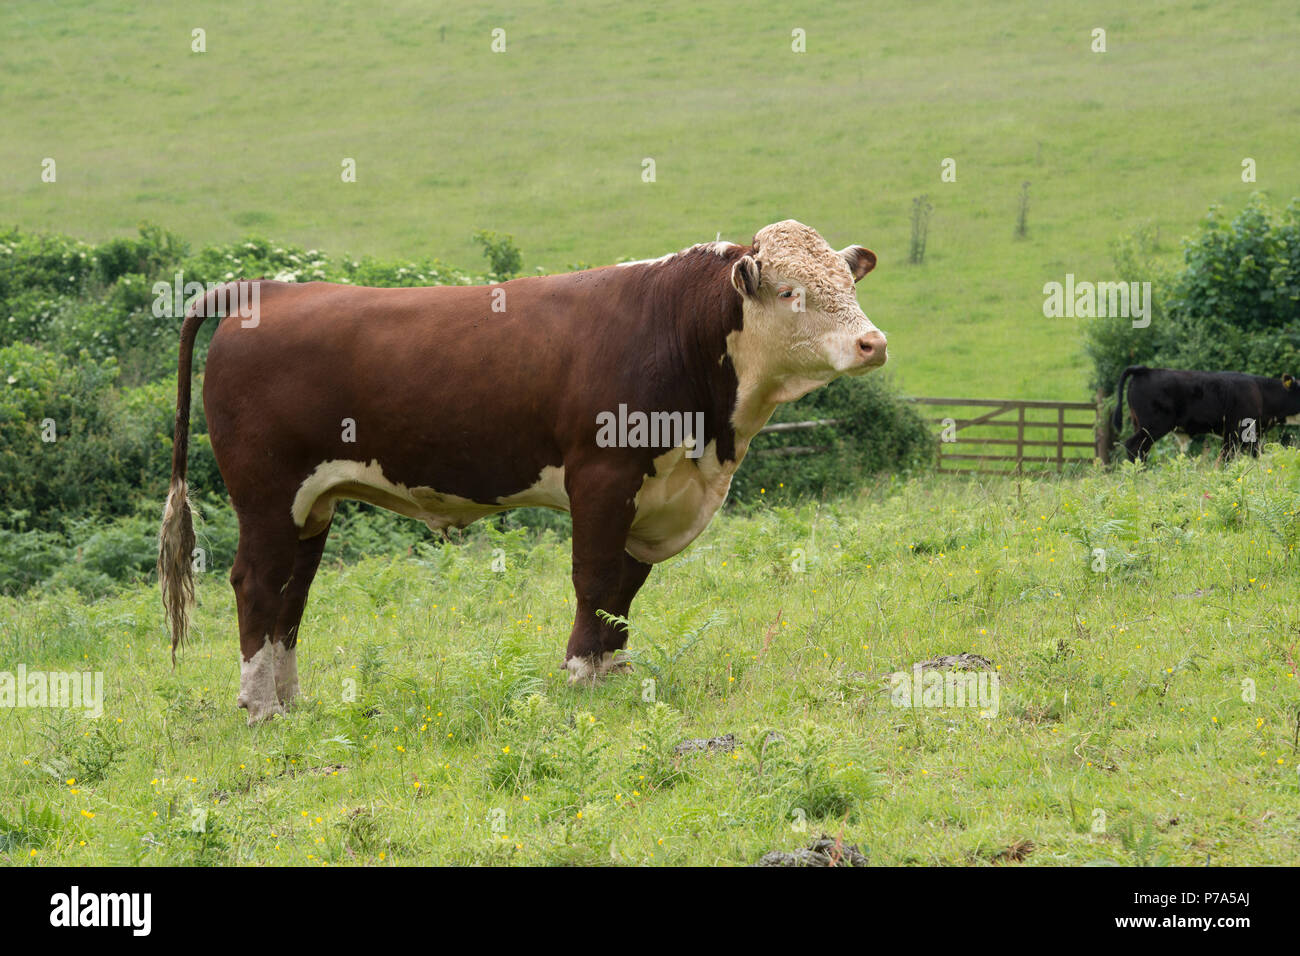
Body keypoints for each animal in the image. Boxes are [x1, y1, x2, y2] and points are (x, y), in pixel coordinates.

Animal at [158, 220, 888, 723]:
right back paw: (261, 708)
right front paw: (579, 678)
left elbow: (624, 592)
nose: (872, 342)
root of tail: (266, 290)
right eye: (791, 292)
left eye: (848, 284)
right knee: (256, 583)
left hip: (312, 504)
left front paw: (614, 675)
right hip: (266, 492)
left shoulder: (653, 495)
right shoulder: (602, 477)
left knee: (292, 592)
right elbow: (594, 580)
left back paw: (290, 699)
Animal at [1112, 365, 1300, 462]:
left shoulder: (1250, 435)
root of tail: (1145, 369)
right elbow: (1226, 459)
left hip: (1140, 424)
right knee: (1133, 446)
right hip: (1153, 425)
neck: (1261, 392)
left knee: (1140, 450)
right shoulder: (1235, 432)